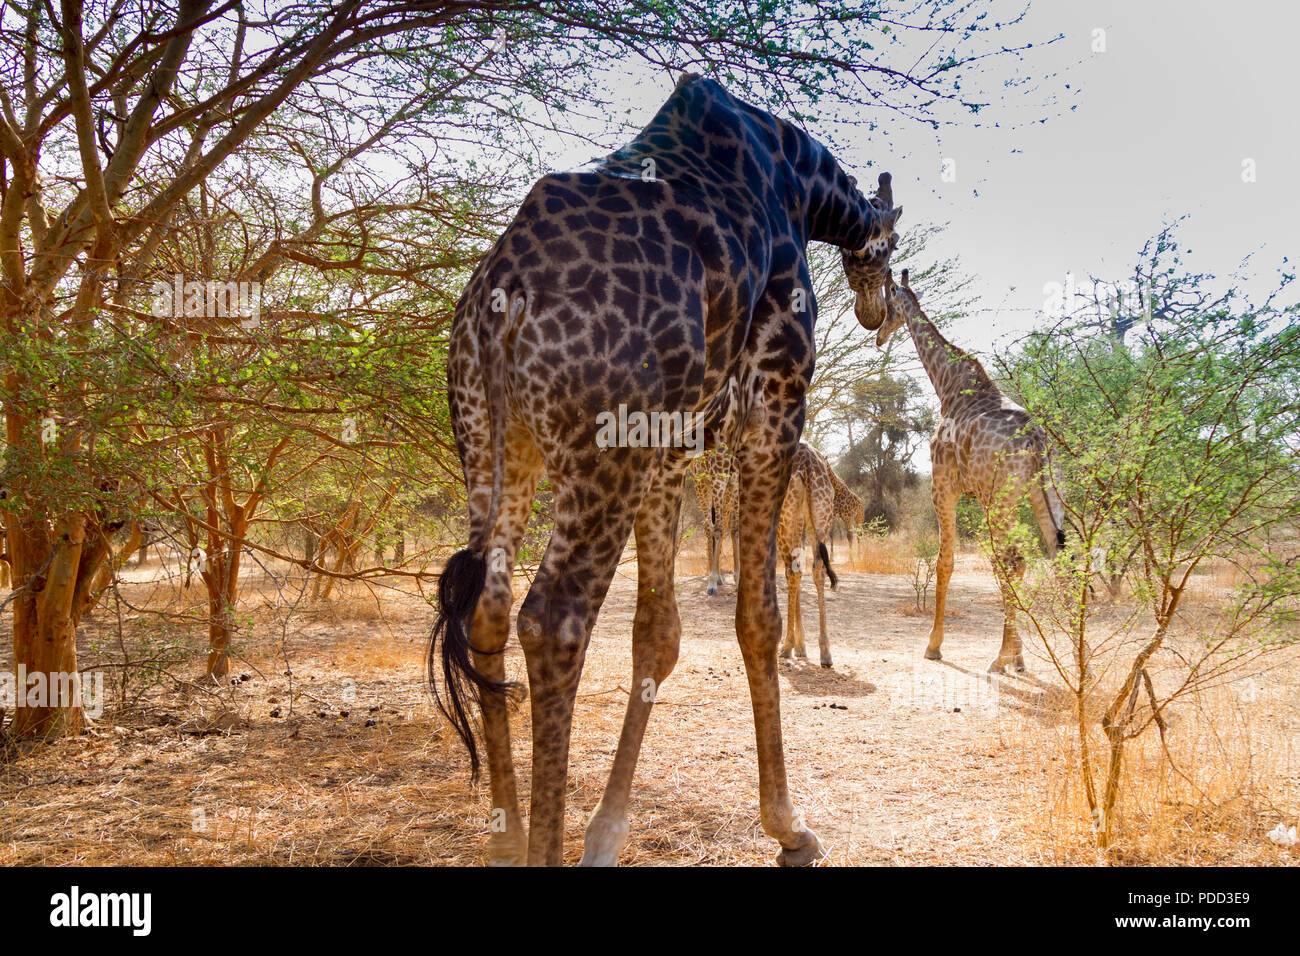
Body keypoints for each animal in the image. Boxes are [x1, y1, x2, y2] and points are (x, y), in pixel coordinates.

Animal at [777, 443, 839, 667]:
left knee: (792, 570)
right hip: (821, 514)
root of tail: (808, 467)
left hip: (787, 514)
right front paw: (802, 647)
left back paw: (786, 647)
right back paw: (826, 652)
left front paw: (796, 646)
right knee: (817, 568)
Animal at [869, 269, 1066, 673]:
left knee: (1013, 561)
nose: (879, 335)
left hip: (999, 500)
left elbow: (944, 561)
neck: (945, 381)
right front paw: (1020, 656)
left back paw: (1000, 657)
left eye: (888, 300)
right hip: (1044, 492)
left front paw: (933, 645)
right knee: (1055, 552)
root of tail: (1037, 441)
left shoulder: (943, 485)